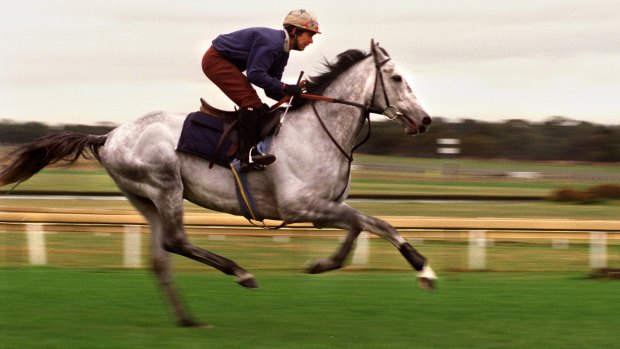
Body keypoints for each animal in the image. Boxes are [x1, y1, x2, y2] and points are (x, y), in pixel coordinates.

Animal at [1, 40, 436, 326]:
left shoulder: (321, 210)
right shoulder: (301, 206)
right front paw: (421, 269)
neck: (318, 130)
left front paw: (329, 263)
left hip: (144, 198)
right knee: (176, 242)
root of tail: (108, 136)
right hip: (166, 185)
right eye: (397, 77)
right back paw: (240, 273)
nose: (425, 119)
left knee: (160, 257)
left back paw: (188, 320)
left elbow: (366, 226)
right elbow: (371, 223)